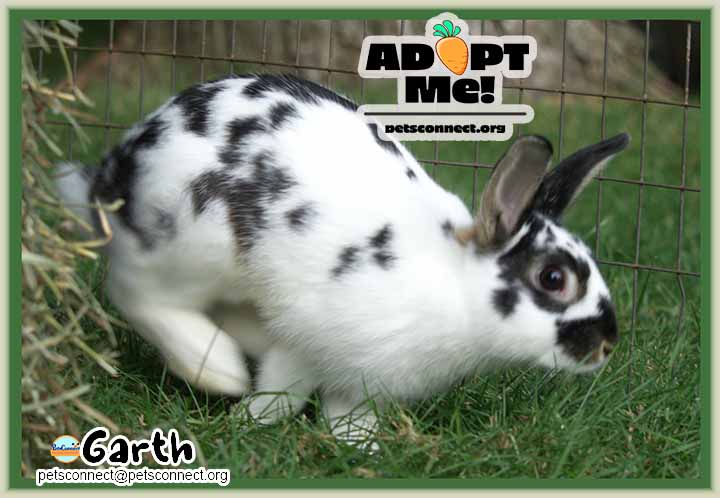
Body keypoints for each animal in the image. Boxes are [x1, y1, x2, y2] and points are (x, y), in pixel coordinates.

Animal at [55, 73, 629, 446]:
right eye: (552, 278)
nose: (607, 345)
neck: (454, 283)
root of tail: (116, 171)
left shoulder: (361, 382)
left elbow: (347, 416)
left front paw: (358, 447)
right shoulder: (306, 340)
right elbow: (284, 391)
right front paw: (248, 421)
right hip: (189, 245)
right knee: (135, 291)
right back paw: (218, 369)